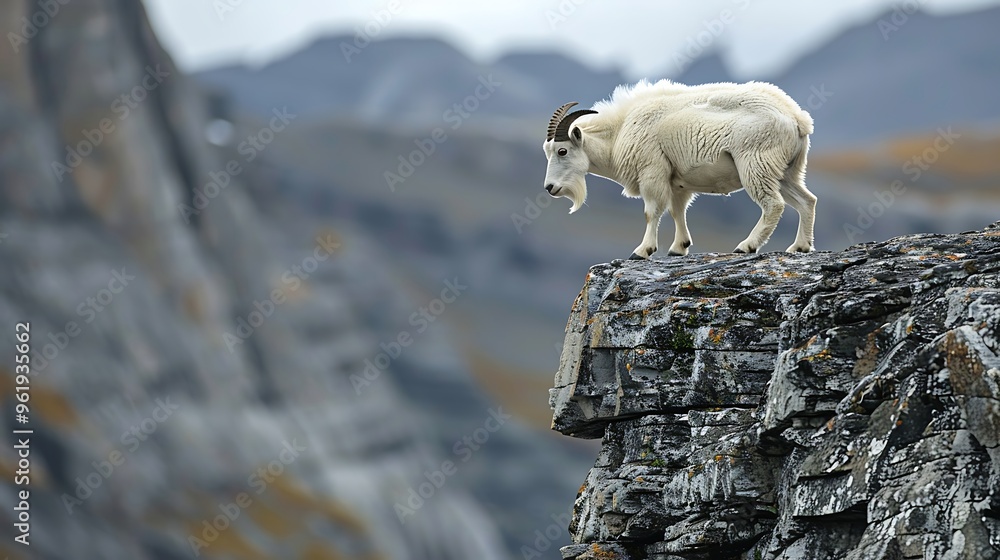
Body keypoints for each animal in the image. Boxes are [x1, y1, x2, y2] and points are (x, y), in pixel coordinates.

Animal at [541, 79, 817, 258]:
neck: (619, 131)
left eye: (562, 151)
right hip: (786, 171)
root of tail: (797, 119)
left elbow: (651, 212)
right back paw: (800, 247)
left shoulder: (652, 171)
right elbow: (677, 211)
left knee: (773, 204)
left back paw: (746, 245)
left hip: (756, 163)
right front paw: (678, 248)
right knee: (807, 201)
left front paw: (642, 251)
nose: (550, 187)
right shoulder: (677, 182)